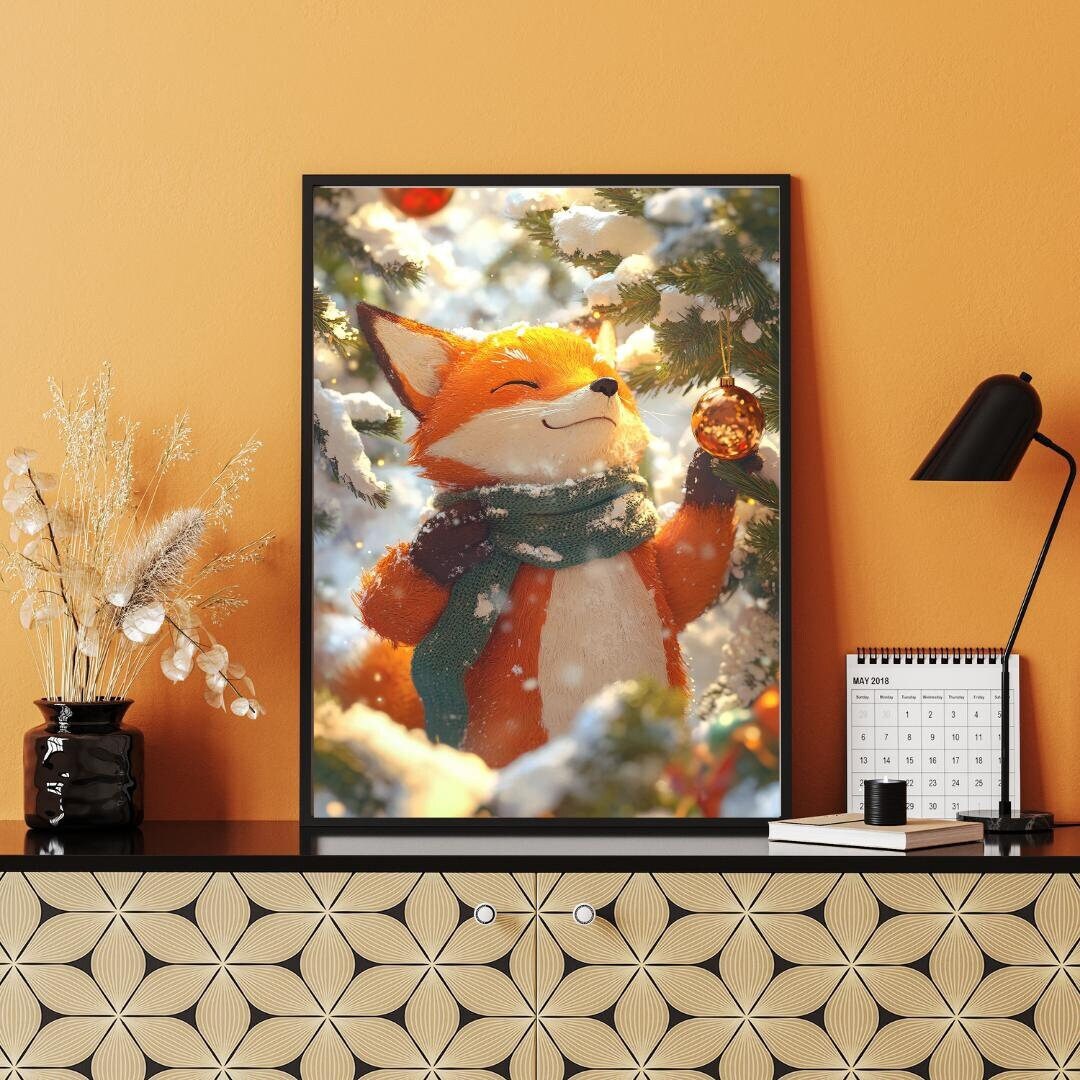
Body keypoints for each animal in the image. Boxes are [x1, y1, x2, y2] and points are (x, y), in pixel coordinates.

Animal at [352, 301, 760, 768]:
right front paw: (443, 544)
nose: (606, 385)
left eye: (604, 373)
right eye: (520, 383)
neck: (576, 534)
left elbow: (690, 578)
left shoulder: (654, 567)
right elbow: (391, 615)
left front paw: (713, 470)